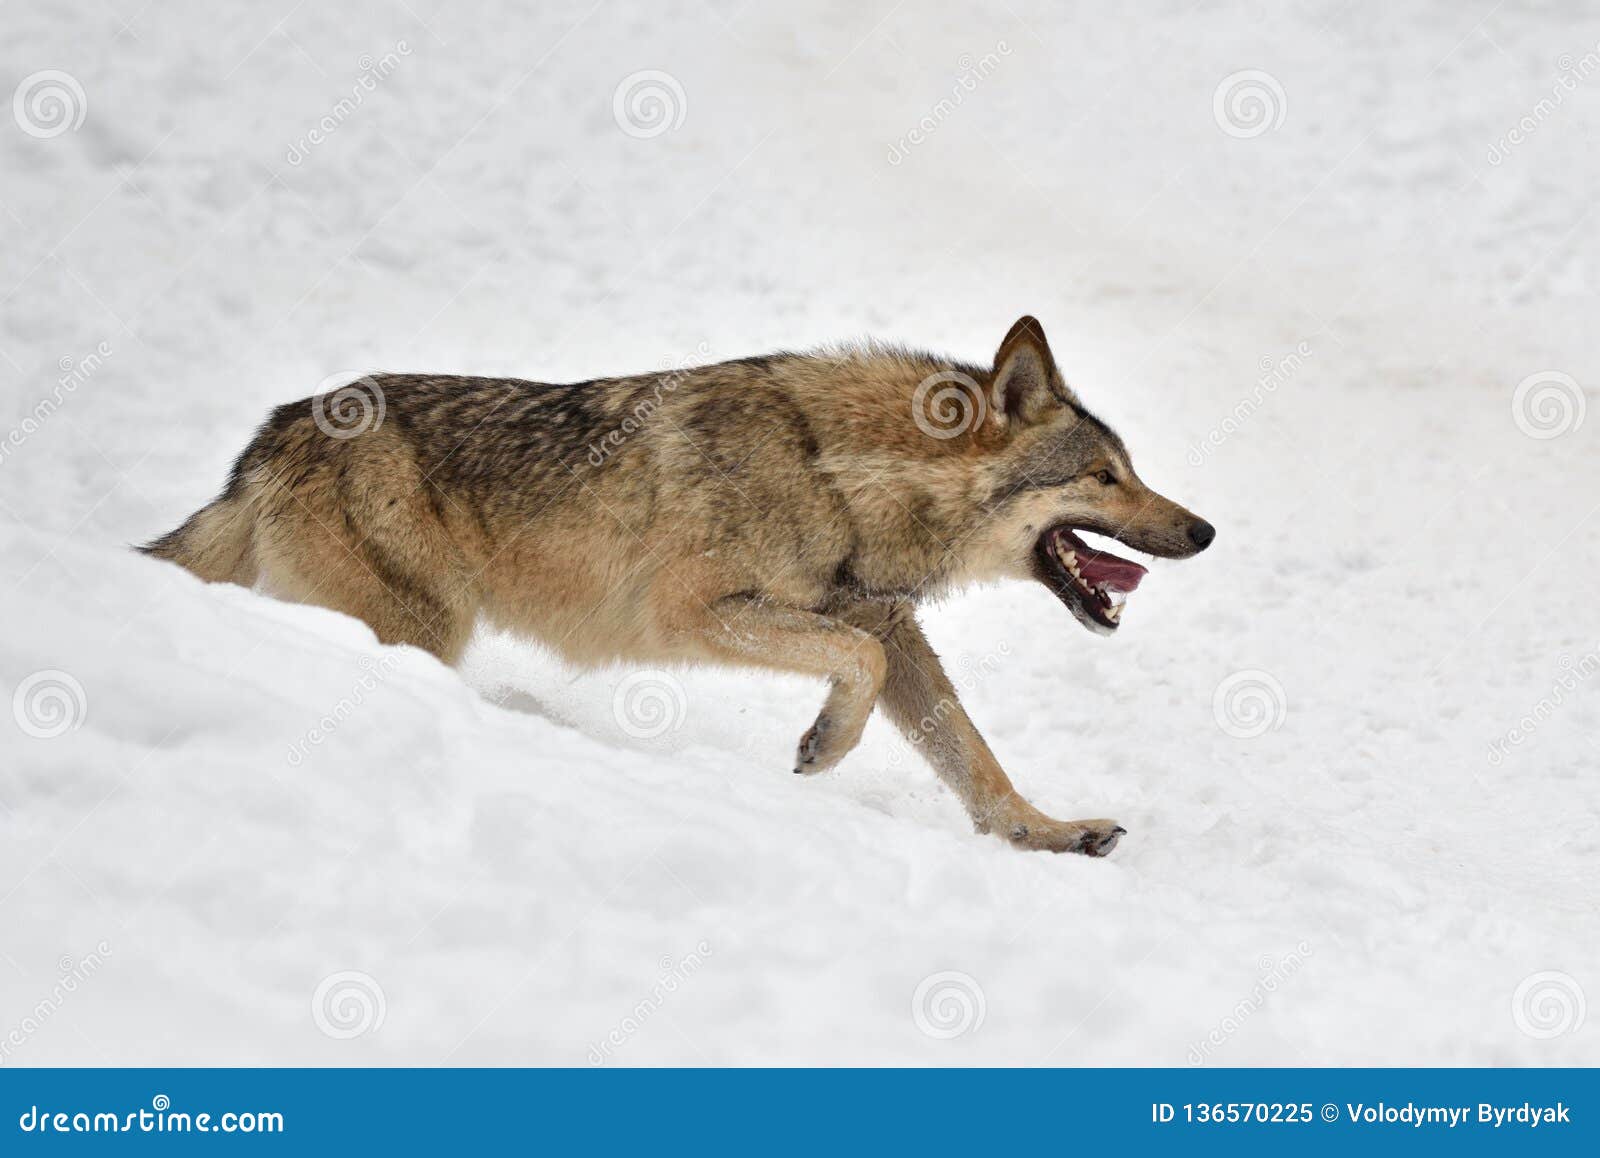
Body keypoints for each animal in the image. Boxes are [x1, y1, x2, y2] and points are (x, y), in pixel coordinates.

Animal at [142, 317, 1212, 855]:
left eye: (1131, 470)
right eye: (1105, 477)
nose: (1204, 531)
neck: (837, 473)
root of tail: (274, 432)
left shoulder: (894, 629)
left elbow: (975, 762)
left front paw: (1048, 834)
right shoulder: (694, 613)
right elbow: (854, 665)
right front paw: (822, 749)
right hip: (416, 628)